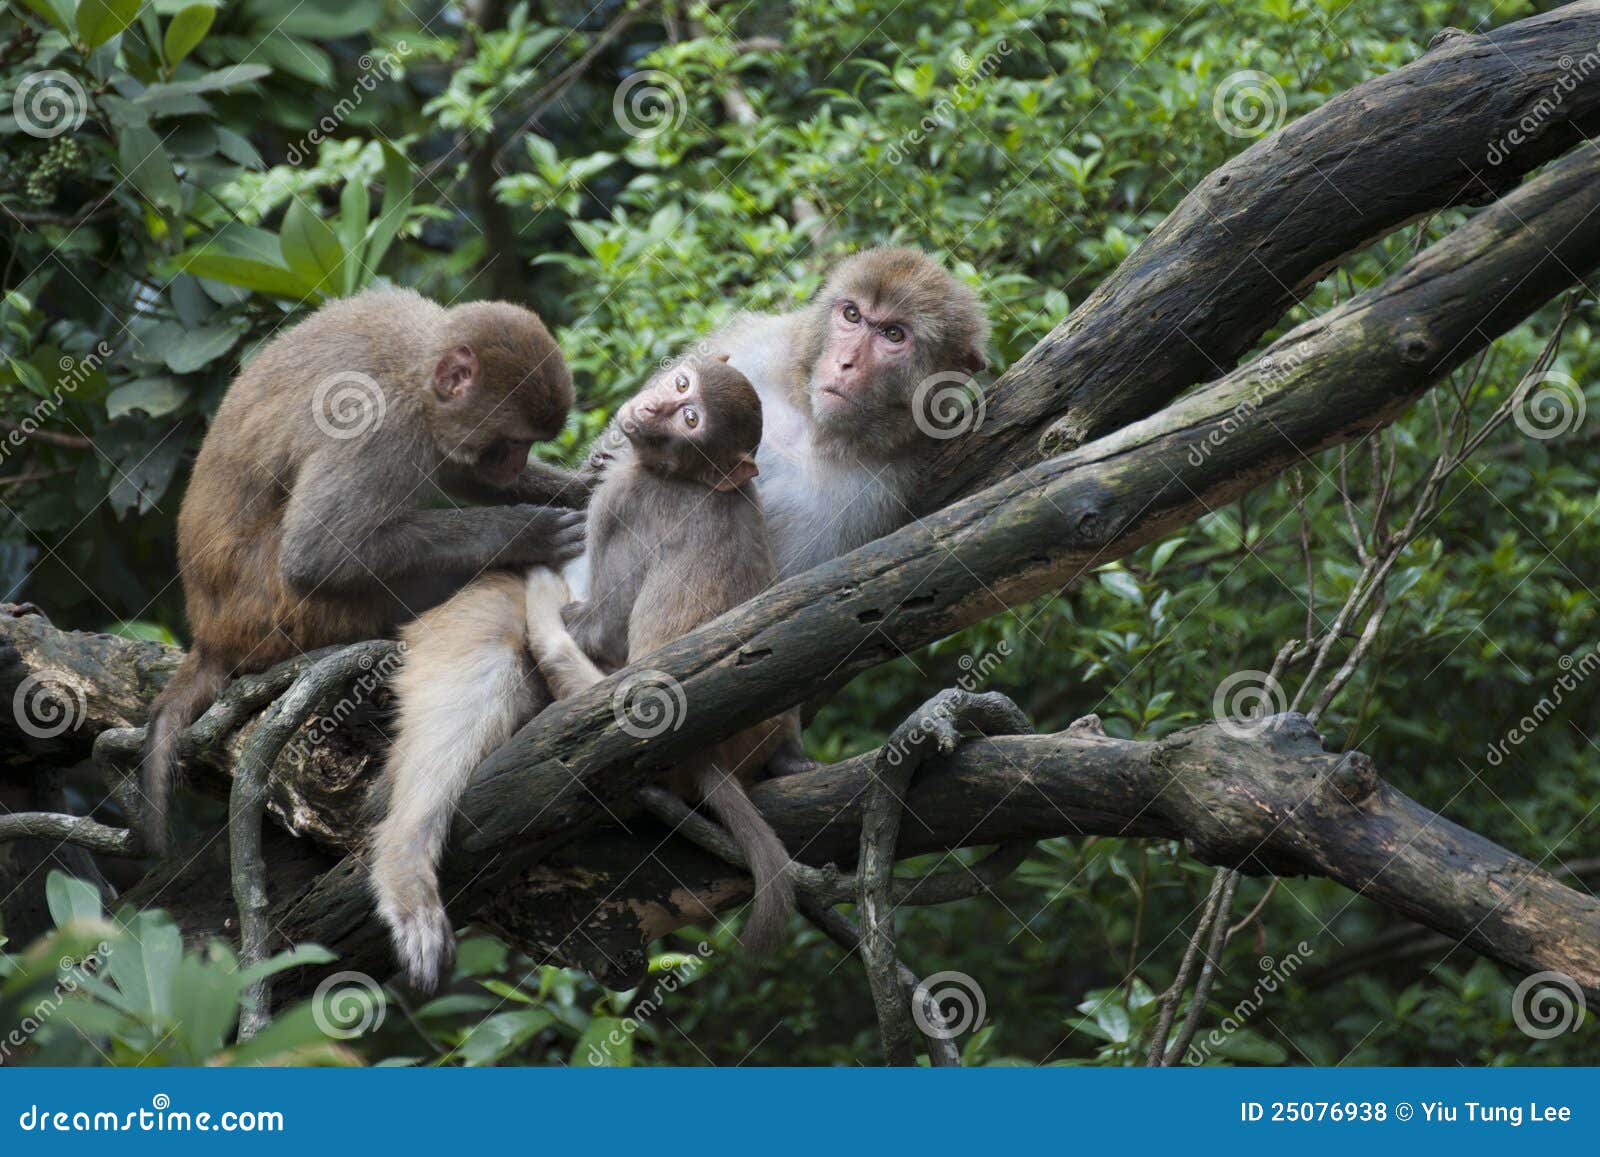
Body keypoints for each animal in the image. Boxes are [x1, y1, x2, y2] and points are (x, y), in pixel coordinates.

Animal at [139, 287, 588, 857]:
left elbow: (464, 476)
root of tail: (209, 635)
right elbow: (318, 553)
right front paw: (526, 531)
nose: (513, 465)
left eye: (524, 447)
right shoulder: (382, 425)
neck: (416, 373)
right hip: (281, 614)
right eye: (509, 442)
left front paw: (585, 487)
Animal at [371, 356, 794, 990]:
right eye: (682, 387)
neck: (688, 477)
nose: (654, 408)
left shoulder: (625, 498)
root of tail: (709, 755)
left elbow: (601, 631)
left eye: (691, 420)